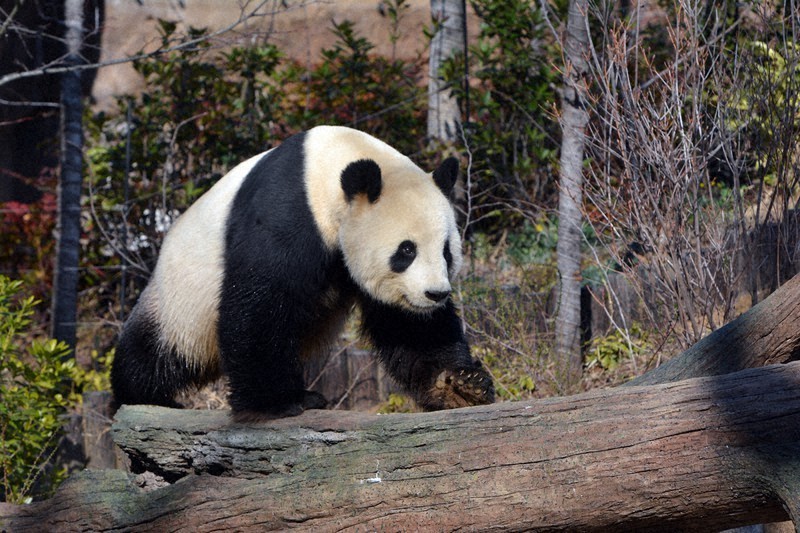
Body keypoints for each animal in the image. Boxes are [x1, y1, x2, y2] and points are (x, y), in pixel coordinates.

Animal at [111, 125, 494, 420]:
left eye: (446, 251)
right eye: (406, 250)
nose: (435, 294)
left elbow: (410, 327)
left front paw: (460, 386)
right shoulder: (288, 212)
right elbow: (261, 301)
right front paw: (277, 403)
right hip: (181, 298)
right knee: (156, 349)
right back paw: (142, 395)